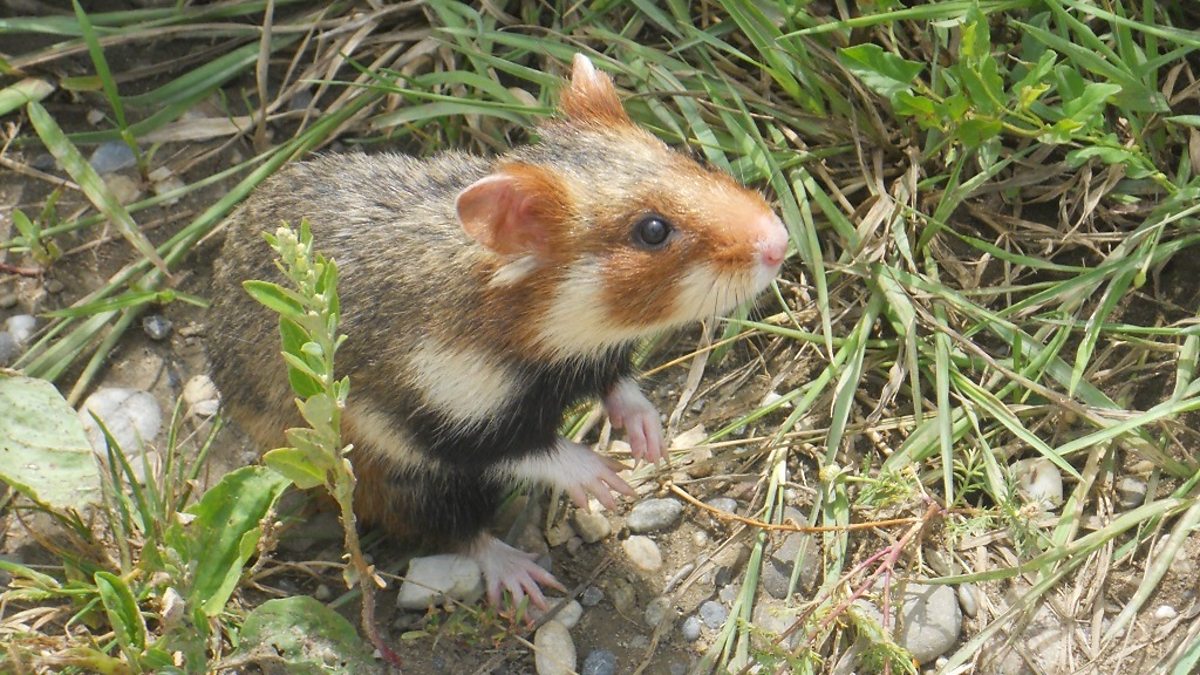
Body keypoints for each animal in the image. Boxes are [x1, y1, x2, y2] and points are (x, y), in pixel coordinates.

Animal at [207, 54, 788, 609]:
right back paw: (522, 575)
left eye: (685, 158)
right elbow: (530, 450)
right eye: (652, 231)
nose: (780, 242)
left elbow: (621, 386)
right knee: (451, 531)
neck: (546, 330)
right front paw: (605, 482)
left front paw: (651, 440)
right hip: (392, 484)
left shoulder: (597, 358)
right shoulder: (428, 419)